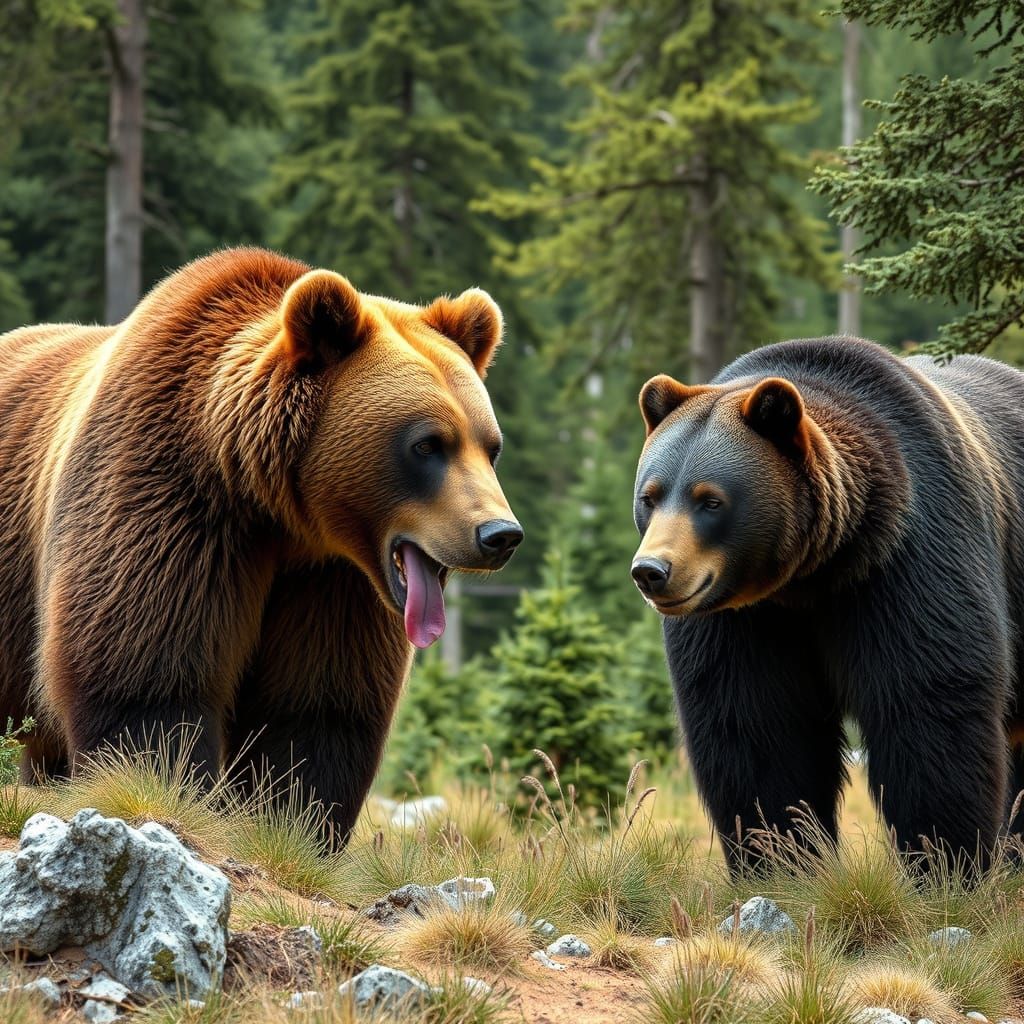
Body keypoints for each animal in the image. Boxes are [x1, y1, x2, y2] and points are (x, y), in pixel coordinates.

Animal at [0, 247, 522, 844]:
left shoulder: (331, 579)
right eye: (428, 444)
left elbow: (315, 708)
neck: (281, 513)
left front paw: (288, 818)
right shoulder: (171, 499)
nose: (499, 535)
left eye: (490, 447)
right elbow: (147, 671)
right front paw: (171, 787)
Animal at [632, 335, 1024, 876]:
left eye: (710, 499)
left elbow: (928, 700)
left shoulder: (909, 559)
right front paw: (780, 857)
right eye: (650, 495)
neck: (813, 574)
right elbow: (756, 723)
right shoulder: (747, 620)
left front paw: (945, 859)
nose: (652, 571)